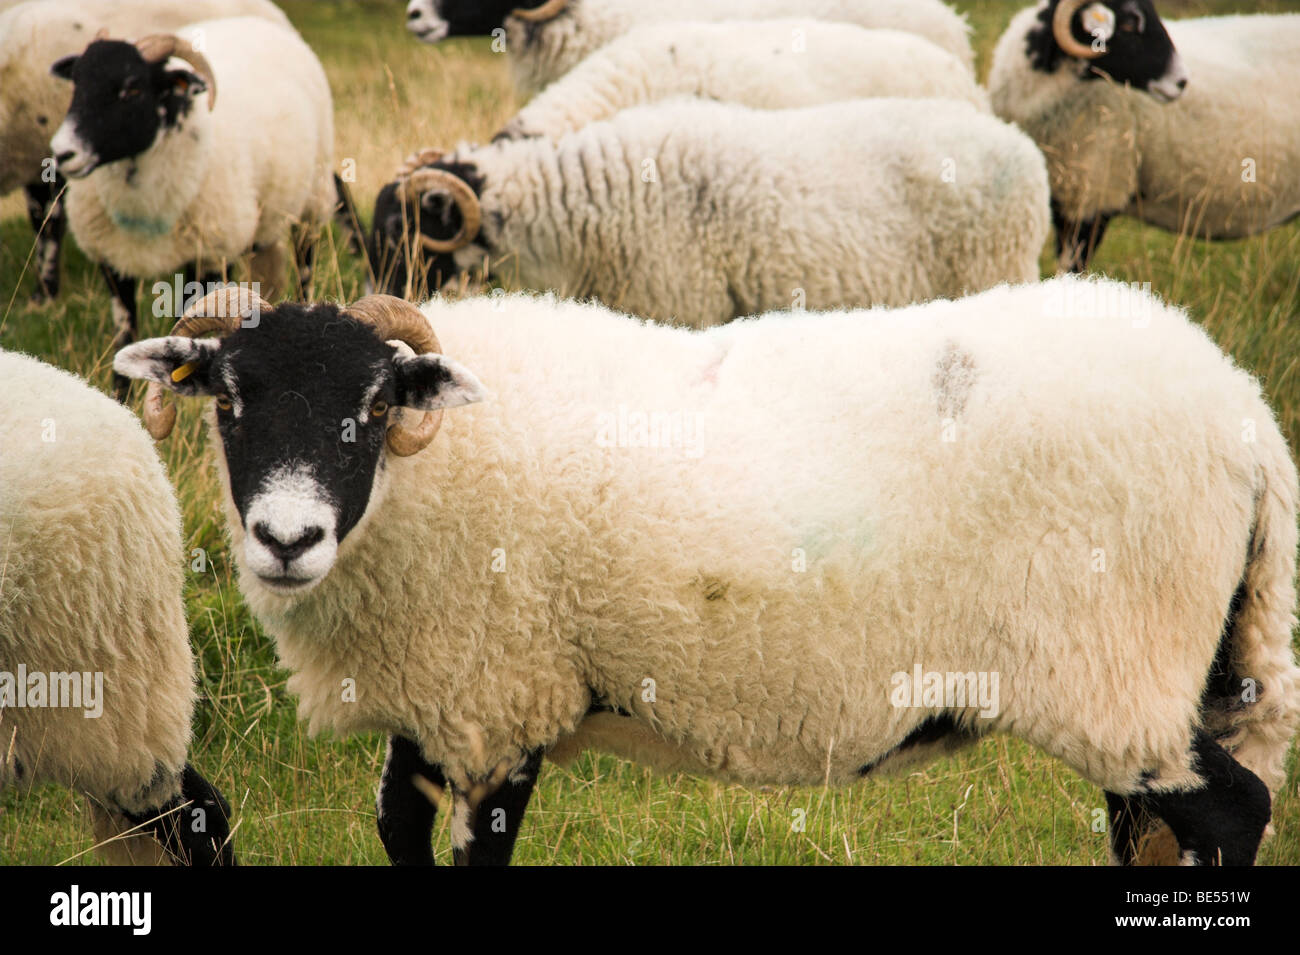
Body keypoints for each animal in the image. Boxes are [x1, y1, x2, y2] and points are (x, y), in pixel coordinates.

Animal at [48, 15, 336, 401]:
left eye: (132, 88)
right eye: (76, 81)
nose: (63, 153)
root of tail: (254, 20)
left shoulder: (208, 257)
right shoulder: (112, 260)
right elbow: (124, 332)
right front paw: (120, 398)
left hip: (310, 206)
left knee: (305, 267)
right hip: (265, 220)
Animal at [115, 279, 1300, 866]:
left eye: (371, 406)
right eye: (229, 400)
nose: (286, 539)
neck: (423, 482)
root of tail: (1243, 411)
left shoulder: (503, 696)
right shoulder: (440, 693)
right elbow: (398, 835)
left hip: (1117, 668)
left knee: (1235, 810)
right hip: (1166, 674)